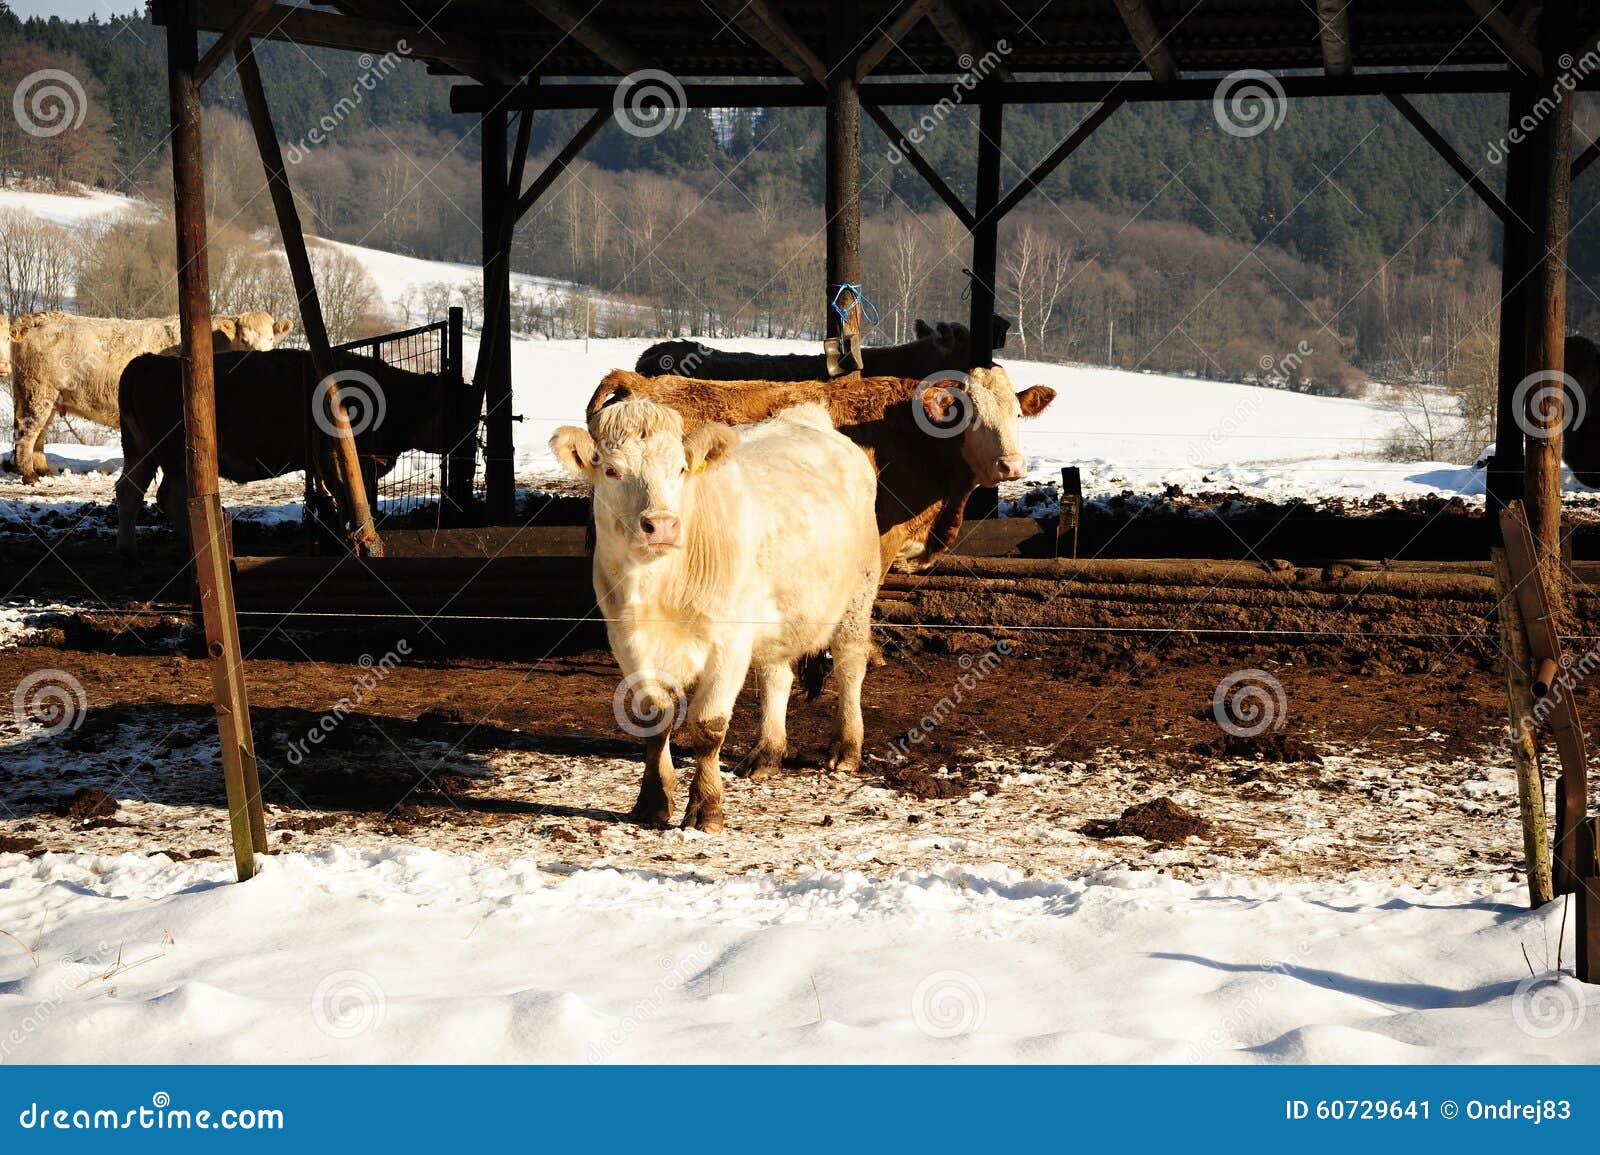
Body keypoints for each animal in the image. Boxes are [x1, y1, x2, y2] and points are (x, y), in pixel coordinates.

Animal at [8, 310, 294, 484]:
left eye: (271, 338)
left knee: (39, 434)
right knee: (27, 432)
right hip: (37, 392)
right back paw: (29, 475)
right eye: (244, 339)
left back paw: (43, 470)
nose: (260, 358)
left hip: (47, 396)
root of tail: (36, 318)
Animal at [116, 348, 447, 558]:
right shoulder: (341, 461)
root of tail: (151, 362)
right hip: (175, 460)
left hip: (140, 453)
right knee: (169, 496)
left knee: (129, 490)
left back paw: (129, 550)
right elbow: (348, 498)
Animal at [550, 398, 880, 830]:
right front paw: (652, 801)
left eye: (680, 469)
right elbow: (654, 721)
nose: (662, 525)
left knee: (849, 665)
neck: (658, 587)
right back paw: (767, 752)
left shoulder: (729, 643)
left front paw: (706, 808)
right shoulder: (626, 641)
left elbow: (708, 727)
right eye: (611, 470)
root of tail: (806, 416)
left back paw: (846, 748)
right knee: (776, 675)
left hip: (858, 593)